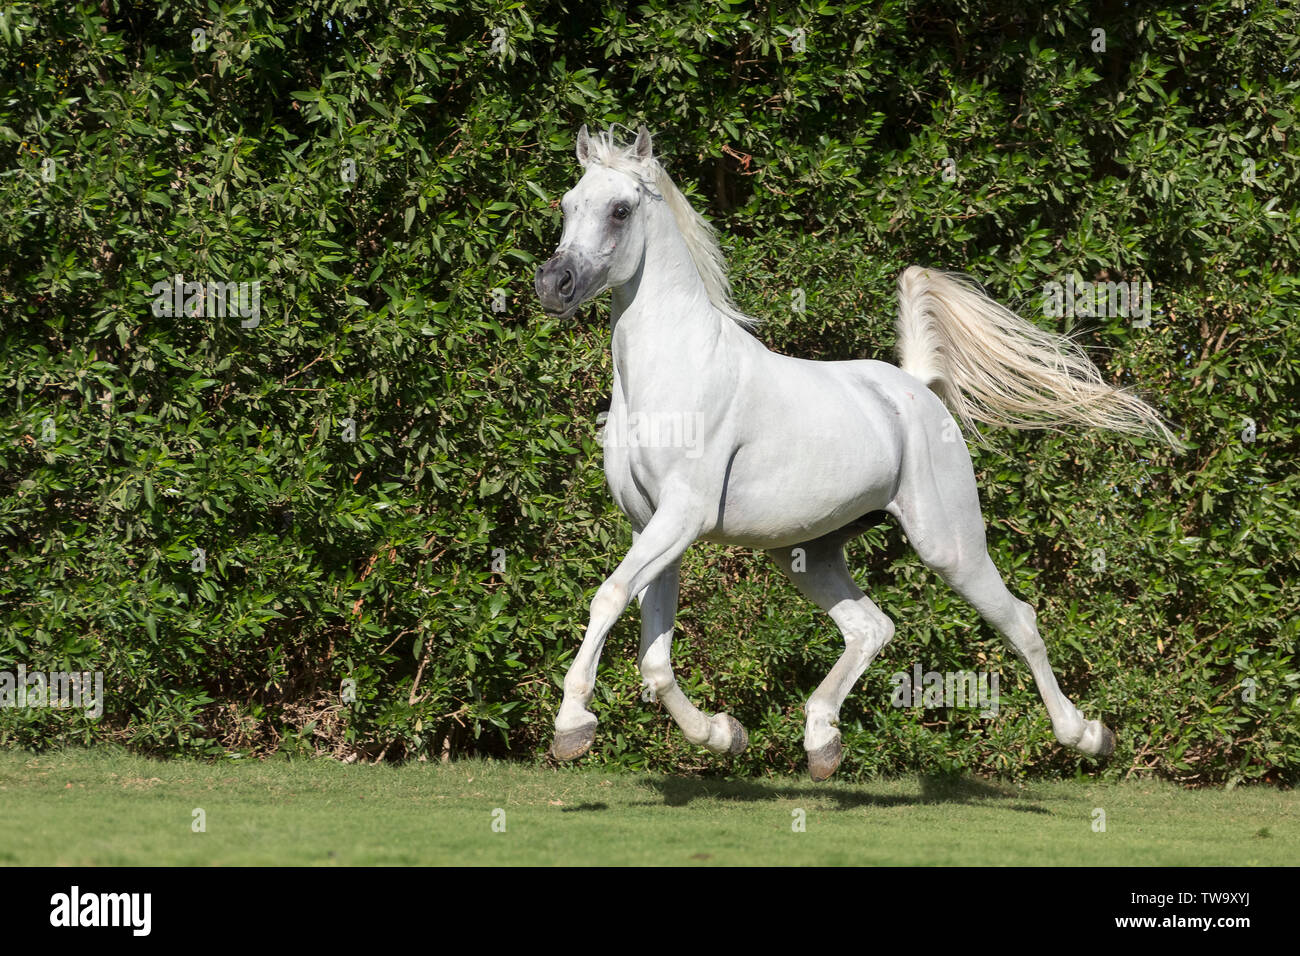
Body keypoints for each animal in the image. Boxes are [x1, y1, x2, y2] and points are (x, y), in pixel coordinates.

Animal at [534, 124, 1179, 780]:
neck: (673, 370)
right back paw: (823, 742)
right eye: (568, 204)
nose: (552, 287)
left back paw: (1089, 735)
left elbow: (609, 597)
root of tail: (915, 388)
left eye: (620, 209)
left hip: (950, 547)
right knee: (872, 627)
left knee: (1019, 621)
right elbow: (655, 660)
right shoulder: (654, 528)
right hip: (807, 554)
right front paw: (724, 734)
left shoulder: (680, 519)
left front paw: (572, 726)